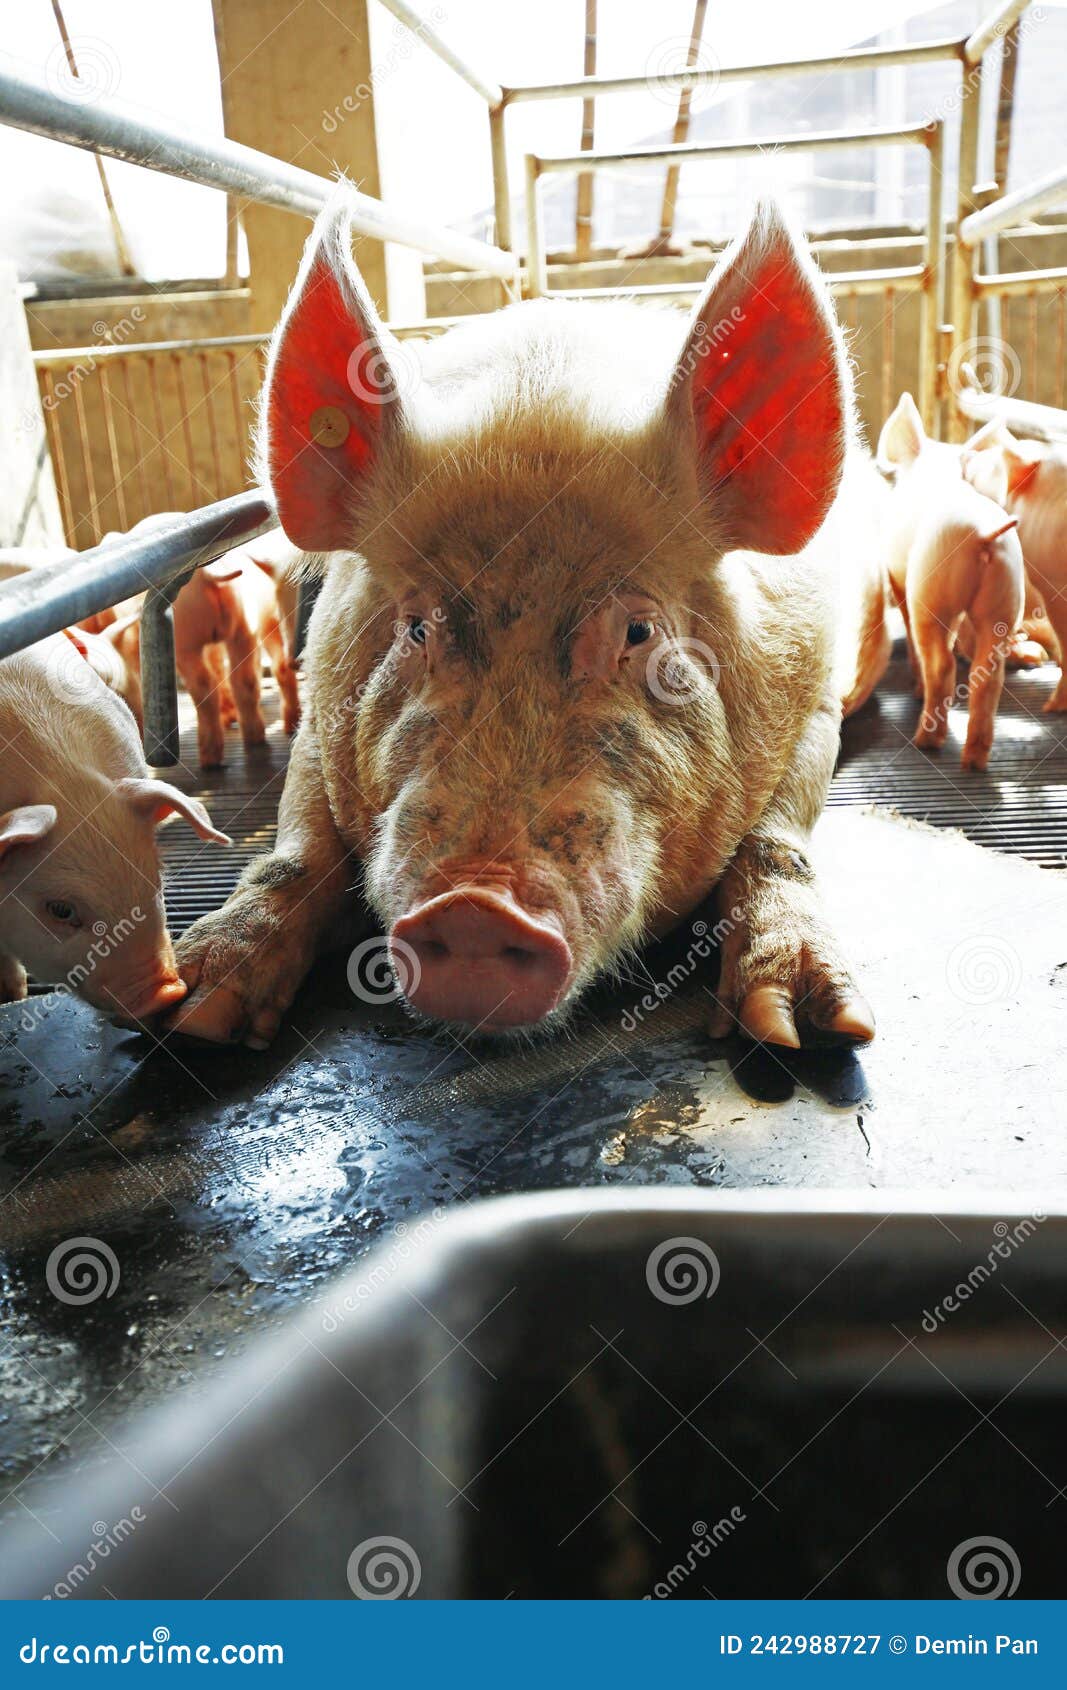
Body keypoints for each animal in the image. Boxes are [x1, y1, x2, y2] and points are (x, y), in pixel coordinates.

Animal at [164, 193, 887, 1054]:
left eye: (639, 633)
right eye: (415, 628)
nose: (476, 907)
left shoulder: (813, 699)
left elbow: (774, 839)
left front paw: (802, 1030)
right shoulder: (317, 713)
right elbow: (296, 846)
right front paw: (193, 1010)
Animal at [876, 393, 1024, 771]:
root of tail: (983, 534)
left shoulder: (898, 580)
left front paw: (915, 687)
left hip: (931, 588)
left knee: (940, 664)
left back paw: (926, 741)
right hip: (1004, 597)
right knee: (988, 675)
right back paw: (974, 761)